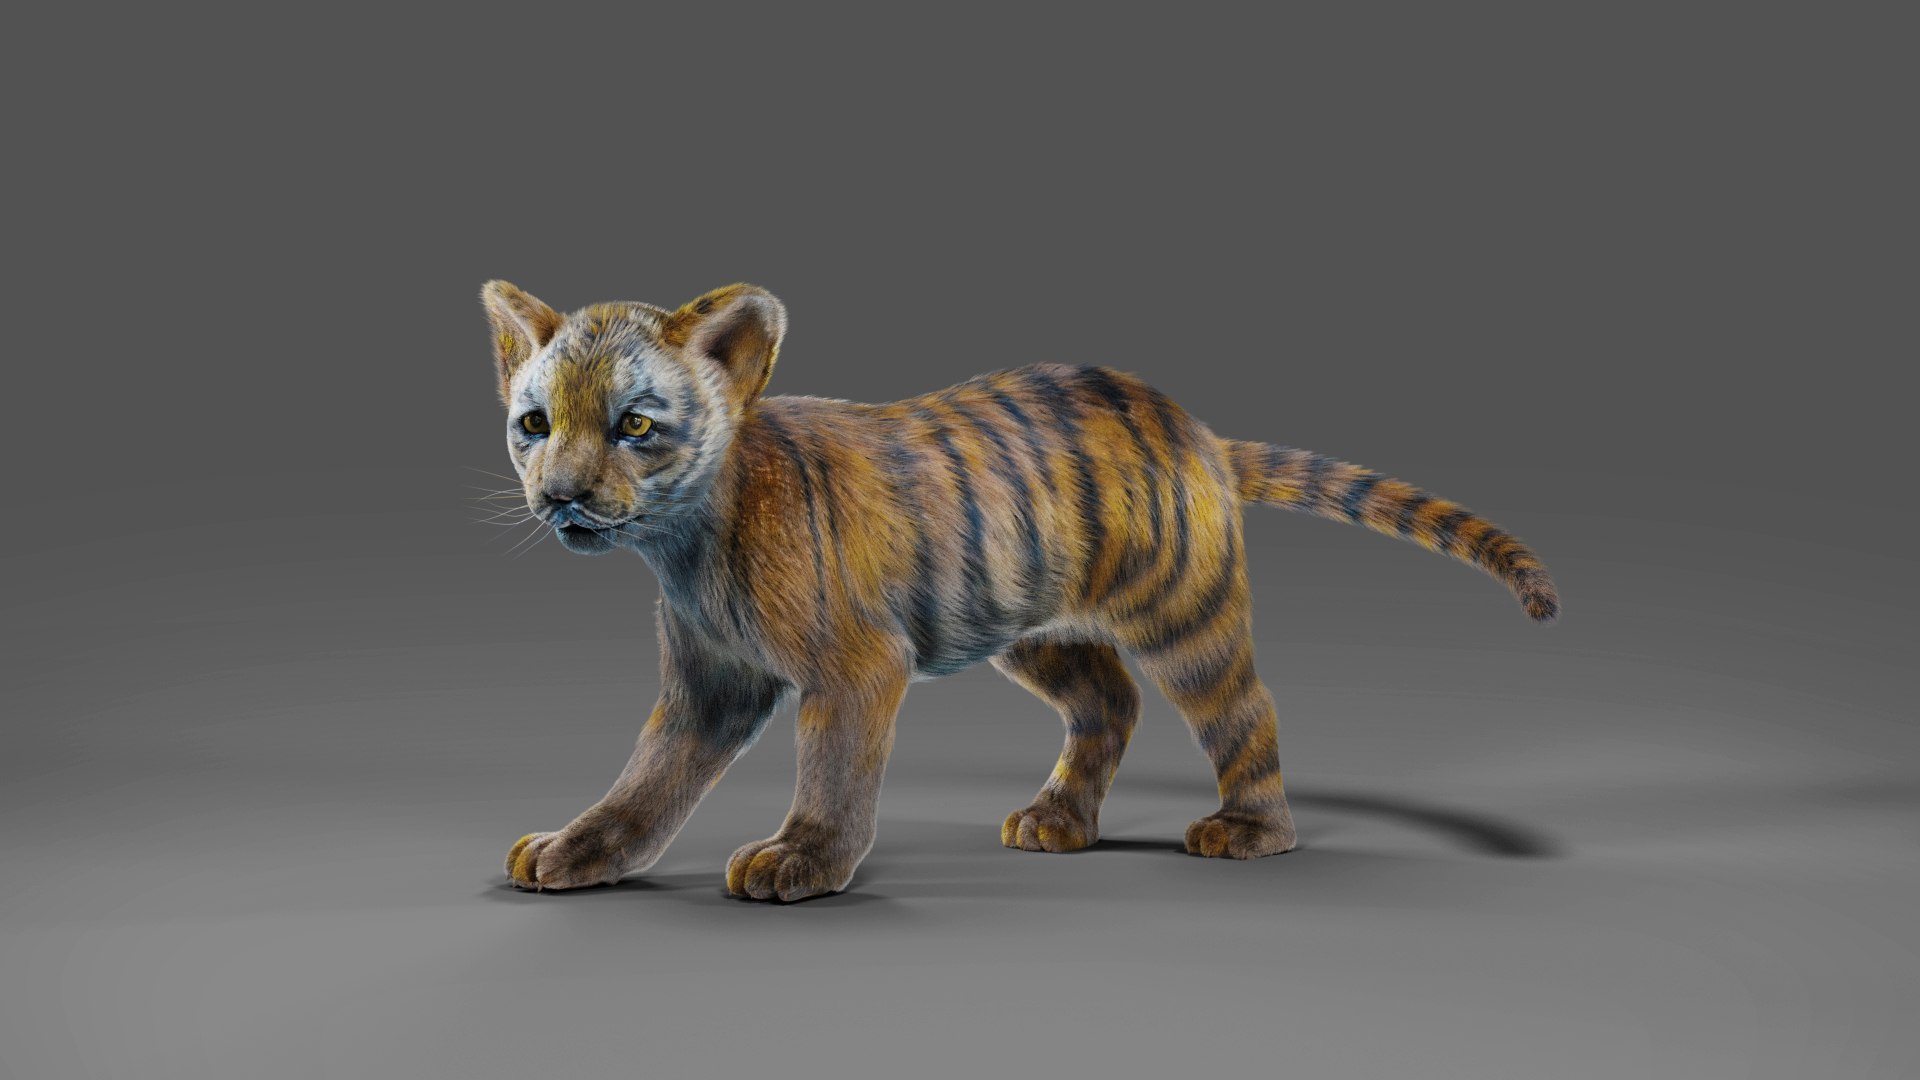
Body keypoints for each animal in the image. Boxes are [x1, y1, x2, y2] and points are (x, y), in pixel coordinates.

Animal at [483, 280, 1559, 902]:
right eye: (536, 423)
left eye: (633, 424)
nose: (561, 494)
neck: (685, 543)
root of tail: (1198, 428)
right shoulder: (710, 687)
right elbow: (648, 780)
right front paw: (580, 850)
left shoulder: (855, 669)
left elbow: (832, 770)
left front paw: (805, 859)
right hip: (1031, 624)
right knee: (1109, 702)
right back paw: (1059, 823)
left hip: (1184, 614)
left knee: (1243, 708)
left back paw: (1249, 833)